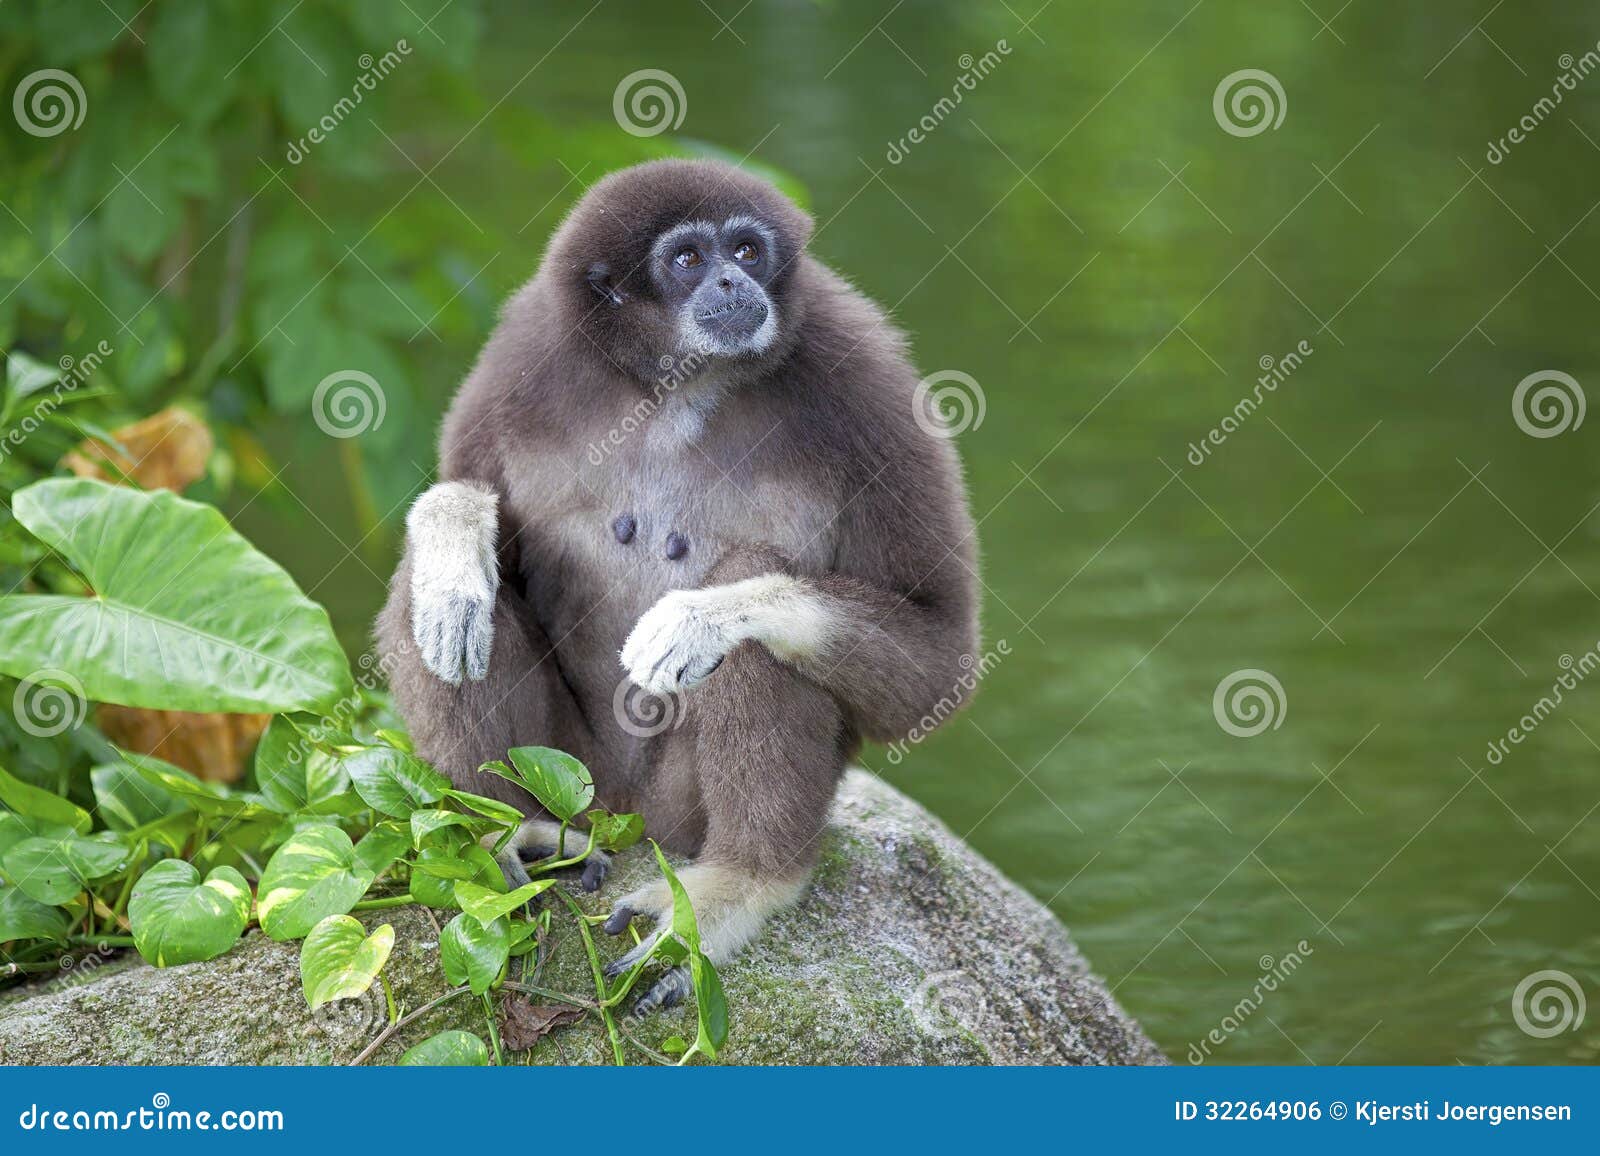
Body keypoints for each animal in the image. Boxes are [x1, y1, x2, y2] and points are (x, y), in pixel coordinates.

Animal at [375, 158, 980, 1016]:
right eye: (688, 259)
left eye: (748, 249)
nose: (732, 280)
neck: (680, 385)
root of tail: (627, 823)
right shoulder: (526, 350)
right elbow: (475, 528)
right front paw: (456, 544)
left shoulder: (866, 378)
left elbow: (938, 656)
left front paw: (700, 618)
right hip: (573, 774)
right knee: (441, 605)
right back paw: (512, 825)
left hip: (672, 815)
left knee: (754, 640)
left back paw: (739, 882)